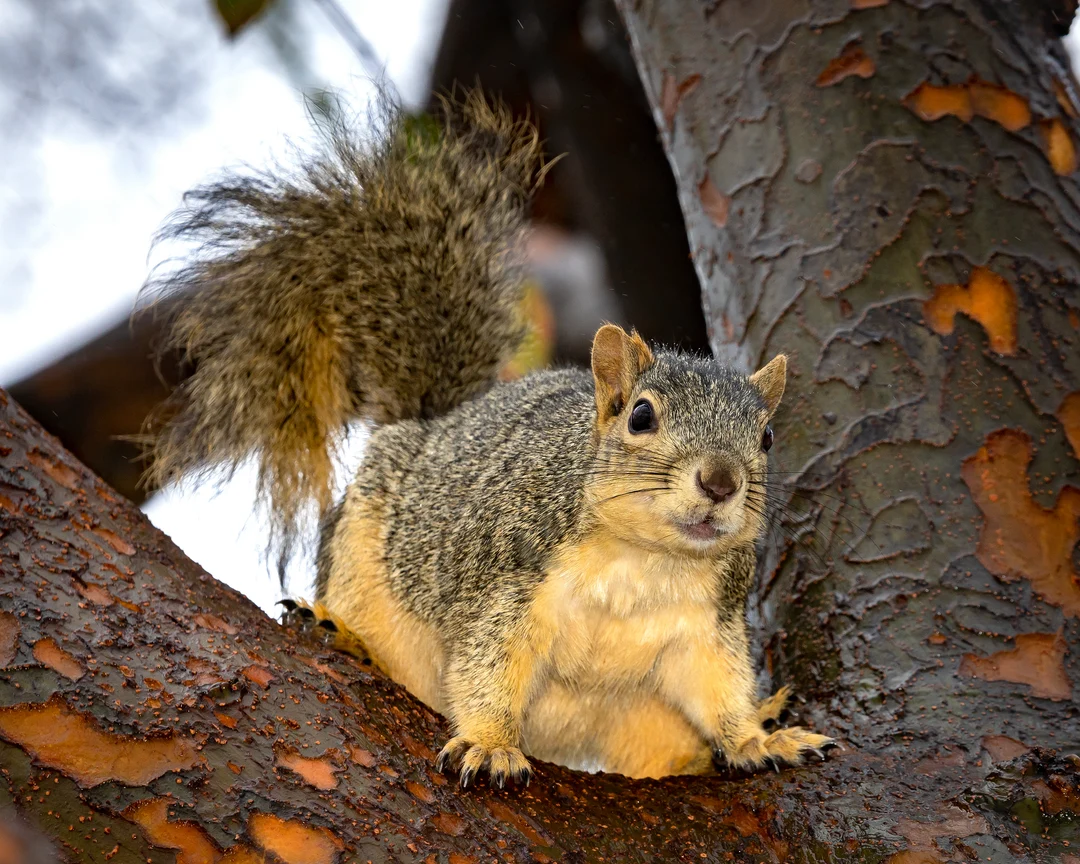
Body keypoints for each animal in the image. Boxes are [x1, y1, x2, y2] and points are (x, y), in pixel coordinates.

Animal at [142, 89, 835, 786]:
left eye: (767, 436)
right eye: (640, 417)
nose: (720, 482)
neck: (646, 559)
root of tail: (436, 421)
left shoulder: (708, 629)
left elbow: (720, 693)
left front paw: (757, 738)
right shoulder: (506, 585)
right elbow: (487, 670)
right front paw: (491, 743)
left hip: (645, 720)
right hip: (365, 557)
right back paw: (342, 635)